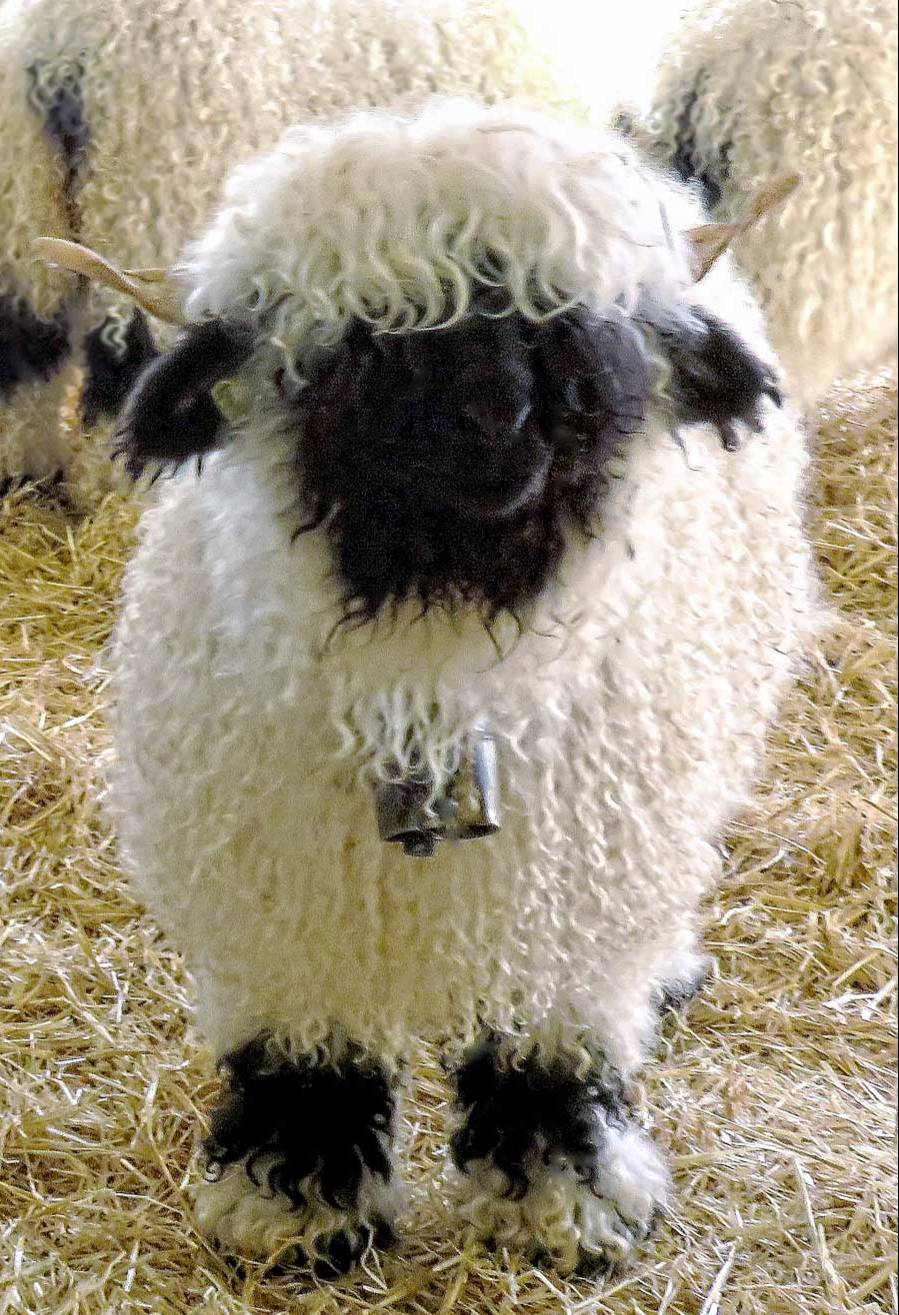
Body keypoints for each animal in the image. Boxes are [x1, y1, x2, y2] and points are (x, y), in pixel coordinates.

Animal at [0, 0, 602, 497]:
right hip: (154, 194)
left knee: (27, 344)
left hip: (26, 198)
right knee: (130, 358)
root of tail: (67, 56)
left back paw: (28, 474)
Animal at [104, 98, 815, 1278]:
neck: (431, 675)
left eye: (566, 325)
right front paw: (293, 1203)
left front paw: (564, 1201)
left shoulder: (573, 896)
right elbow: (306, 1052)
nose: (494, 415)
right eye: (357, 342)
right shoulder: (275, 901)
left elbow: (549, 1052)